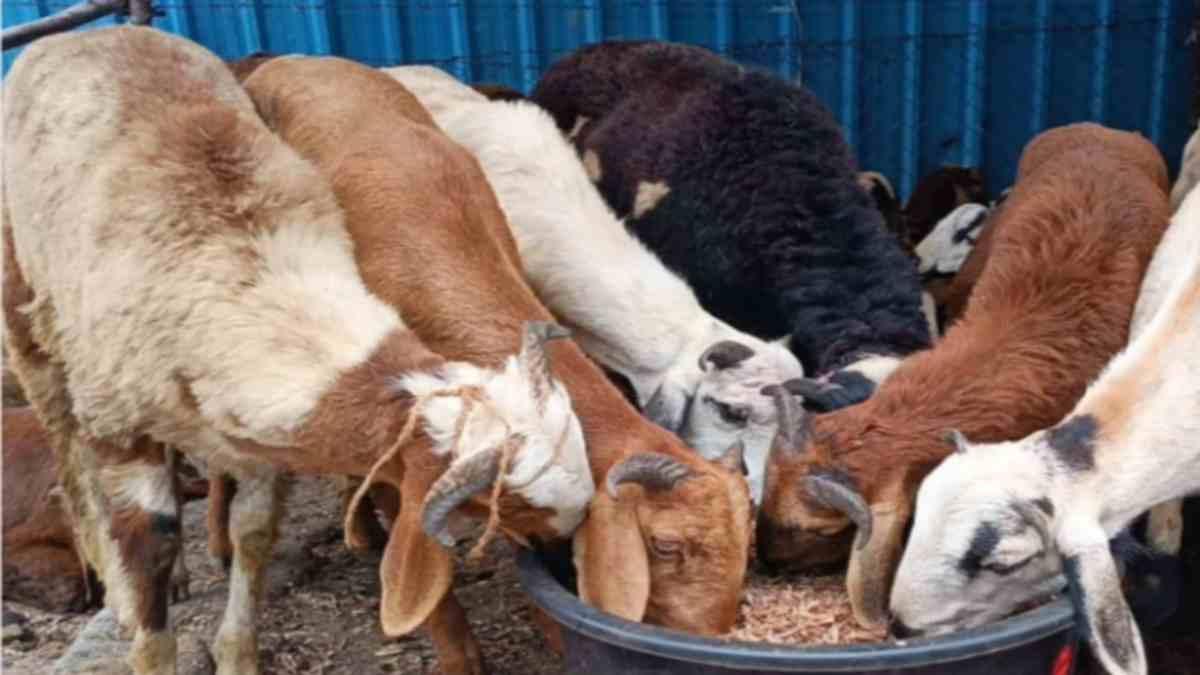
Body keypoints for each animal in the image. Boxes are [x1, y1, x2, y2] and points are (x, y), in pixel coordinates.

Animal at [3, 27, 592, 675]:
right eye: (500, 502)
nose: (560, 550)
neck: (250, 273)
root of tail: (87, 32)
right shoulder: (116, 419)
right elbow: (148, 543)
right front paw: (151, 641)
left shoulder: (255, 429)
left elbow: (254, 530)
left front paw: (238, 653)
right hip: (33, 322)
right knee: (71, 464)